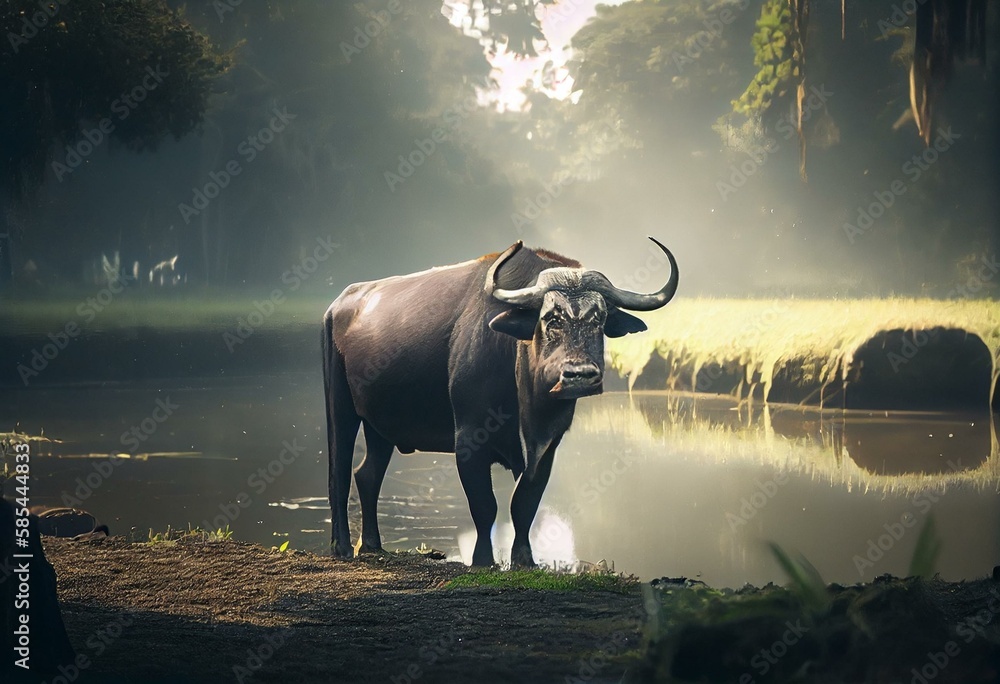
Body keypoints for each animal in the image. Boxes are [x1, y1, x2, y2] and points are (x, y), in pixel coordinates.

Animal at [322, 238, 678, 566]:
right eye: (551, 319)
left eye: (599, 319)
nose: (580, 375)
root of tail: (339, 305)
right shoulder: (468, 439)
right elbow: (485, 505)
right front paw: (483, 559)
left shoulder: (547, 446)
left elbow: (524, 504)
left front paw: (525, 559)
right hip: (339, 407)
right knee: (339, 470)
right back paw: (342, 547)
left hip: (380, 427)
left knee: (367, 474)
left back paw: (371, 544)